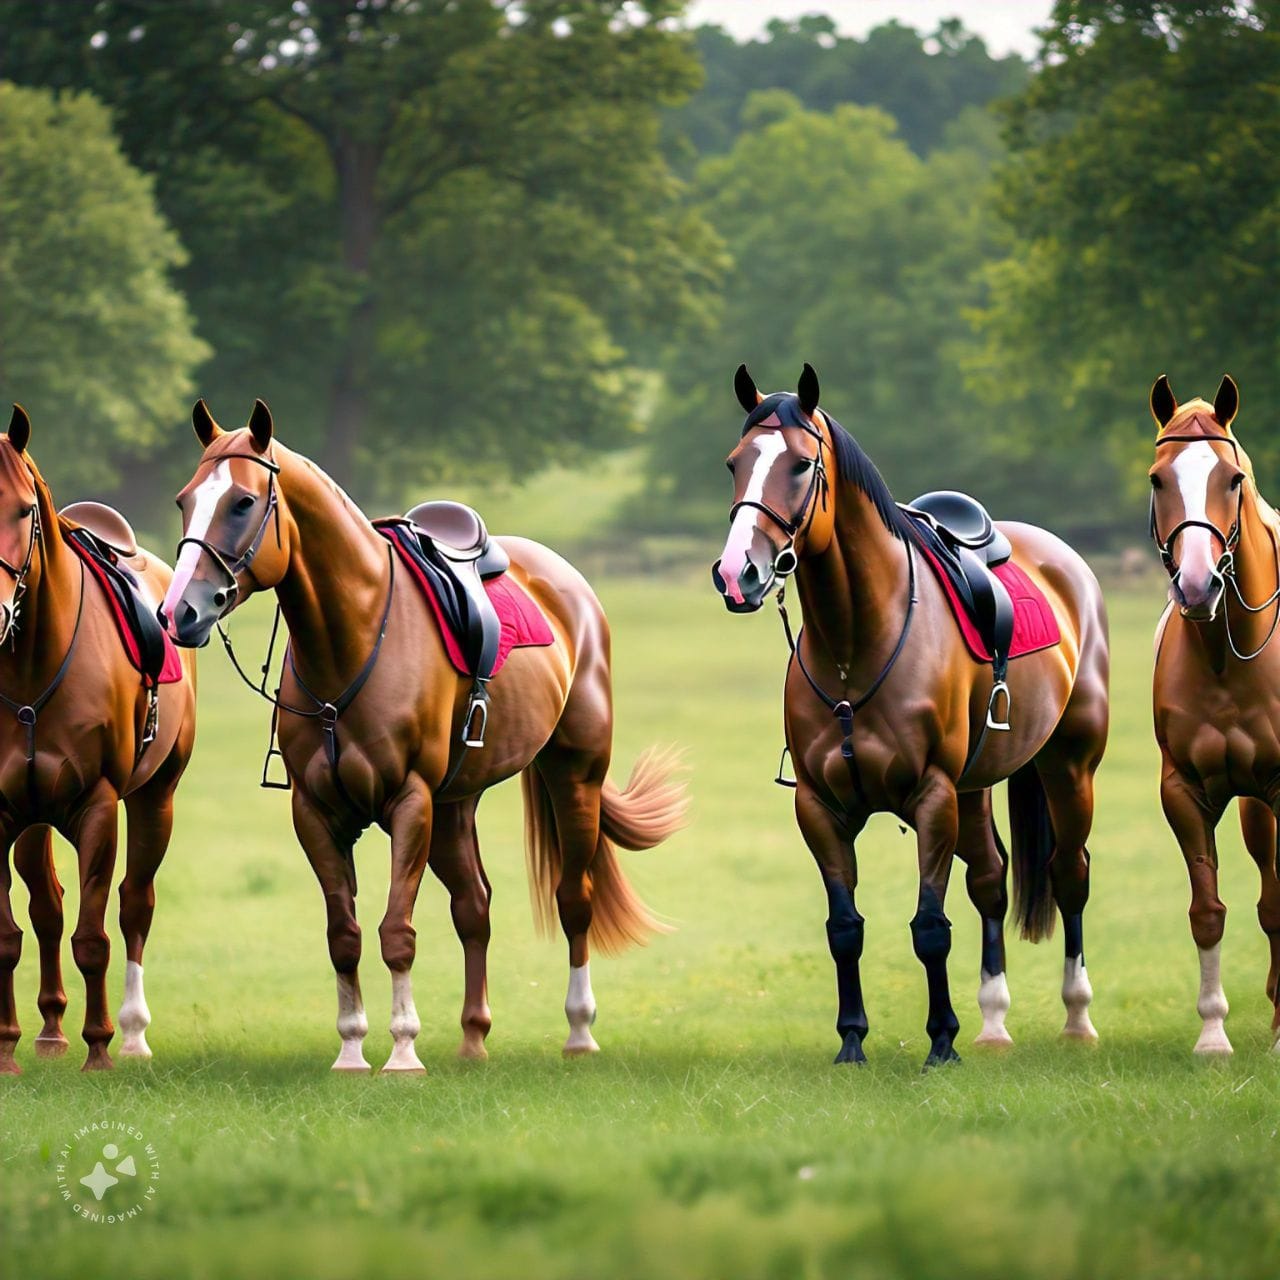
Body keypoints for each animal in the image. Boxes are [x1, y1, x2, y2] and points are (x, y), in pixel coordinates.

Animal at [0, 406, 196, 1073]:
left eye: (22, 510)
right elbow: (9, 935)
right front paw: (7, 1052)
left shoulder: (98, 806)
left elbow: (94, 936)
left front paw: (101, 1051)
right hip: (32, 821)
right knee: (46, 904)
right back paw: (48, 1031)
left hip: (156, 798)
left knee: (135, 903)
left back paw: (130, 1035)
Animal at [159, 399, 685, 1072]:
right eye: (184, 500)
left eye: (243, 503)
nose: (180, 612)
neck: (354, 637)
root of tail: (571, 585)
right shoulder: (317, 812)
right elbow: (345, 935)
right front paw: (352, 1049)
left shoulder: (408, 802)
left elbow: (397, 932)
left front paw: (403, 1050)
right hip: (456, 804)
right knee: (474, 907)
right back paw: (472, 1038)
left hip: (574, 775)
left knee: (575, 897)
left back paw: (578, 1031)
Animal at [711, 365, 1110, 1069]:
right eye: (736, 463)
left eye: (800, 464)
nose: (739, 573)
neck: (855, 644)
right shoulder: (819, 807)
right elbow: (844, 929)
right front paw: (852, 1041)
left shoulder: (932, 796)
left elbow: (930, 928)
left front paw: (941, 1043)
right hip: (977, 787)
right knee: (991, 879)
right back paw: (993, 1023)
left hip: (1069, 766)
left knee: (1070, 874)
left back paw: (1076, 1019)